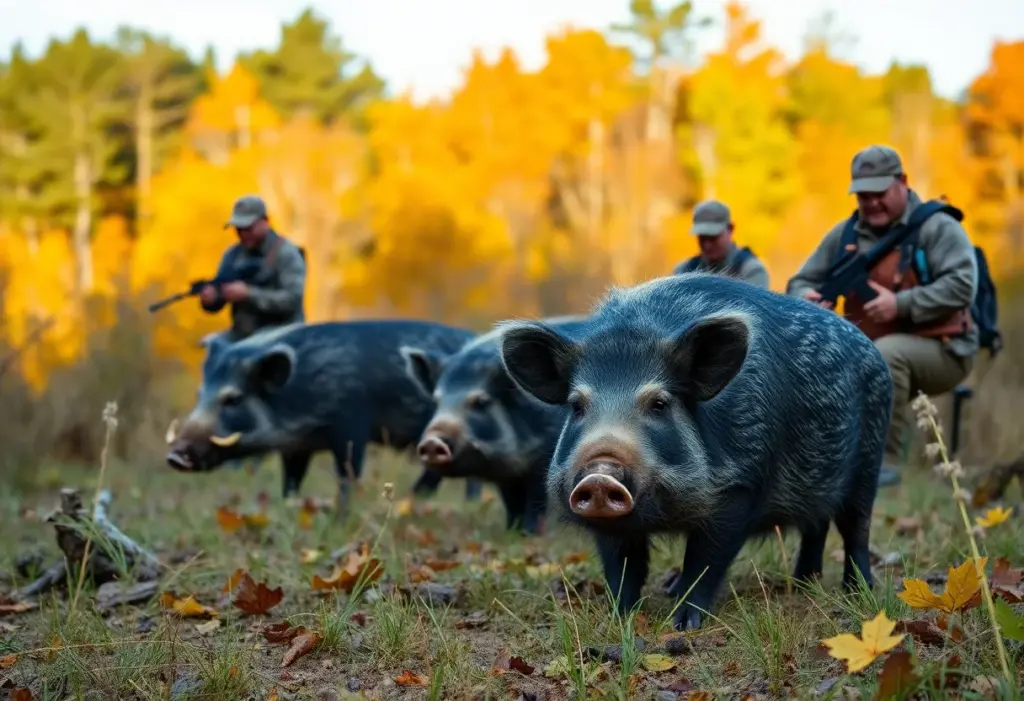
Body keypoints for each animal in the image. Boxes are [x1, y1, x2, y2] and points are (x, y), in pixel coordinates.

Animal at [165, 319, 484, 510]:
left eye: (233, 399)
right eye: (200, 394)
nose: (175, 455)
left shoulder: (351, 425)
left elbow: (347, 472)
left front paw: (342, 513)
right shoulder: (296, 447)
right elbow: (292, 478)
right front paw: (289, 505)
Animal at [399, 315, 590, 535]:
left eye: (481, 402)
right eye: (437, 401)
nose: (432, 442)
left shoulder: (544, 464)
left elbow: (537, 507)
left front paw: (531, 535)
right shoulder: (507, 476)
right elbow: (512, 506)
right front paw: (512, 533)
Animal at [497, 272, 892, 630]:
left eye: (659, 403)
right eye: (577, 405)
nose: (600, 473)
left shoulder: (739, 488)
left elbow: (705, 560)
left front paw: (684, 624)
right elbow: (622, 565)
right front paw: (619, 619)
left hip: (869, 461)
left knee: (856, 528)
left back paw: (857, 591)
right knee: (817, 526)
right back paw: (802, 584)